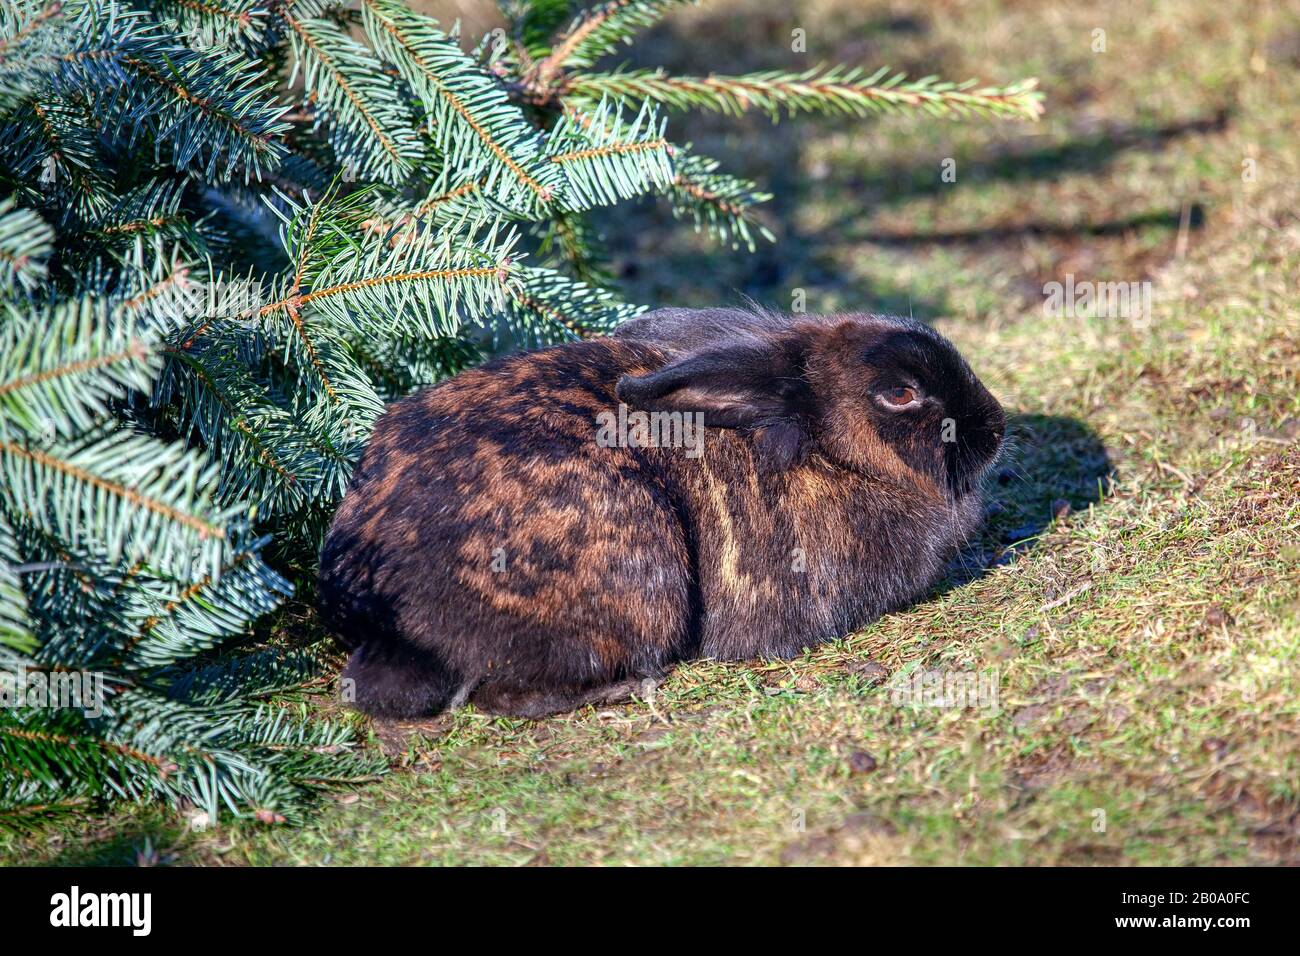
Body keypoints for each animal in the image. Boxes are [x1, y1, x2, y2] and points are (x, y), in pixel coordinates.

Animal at [318, 307, 1006, 718]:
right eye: (900, 393)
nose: (996, 426)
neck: (824, 449)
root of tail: (386, 611)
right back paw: (632, 684)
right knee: (502, 694)